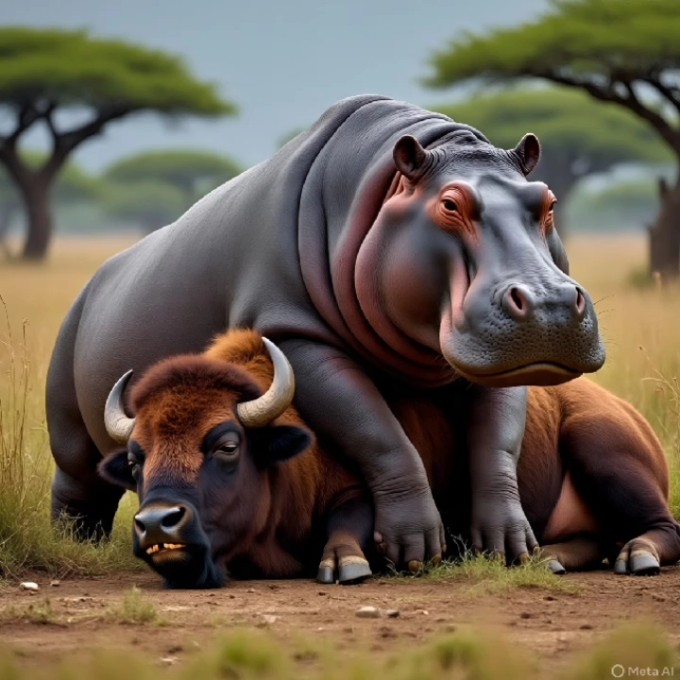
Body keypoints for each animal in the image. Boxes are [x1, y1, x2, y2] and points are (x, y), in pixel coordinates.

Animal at [46, 95, 605, 568]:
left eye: (547, 201)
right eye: (449, 204)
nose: (550, 303)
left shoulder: (498, 360)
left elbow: (495, 443)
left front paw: (510, 547)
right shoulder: (296, 337)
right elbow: (377, 431)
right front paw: (415, 549)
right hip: (71, 432)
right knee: (78, 487)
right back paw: (76, 544)